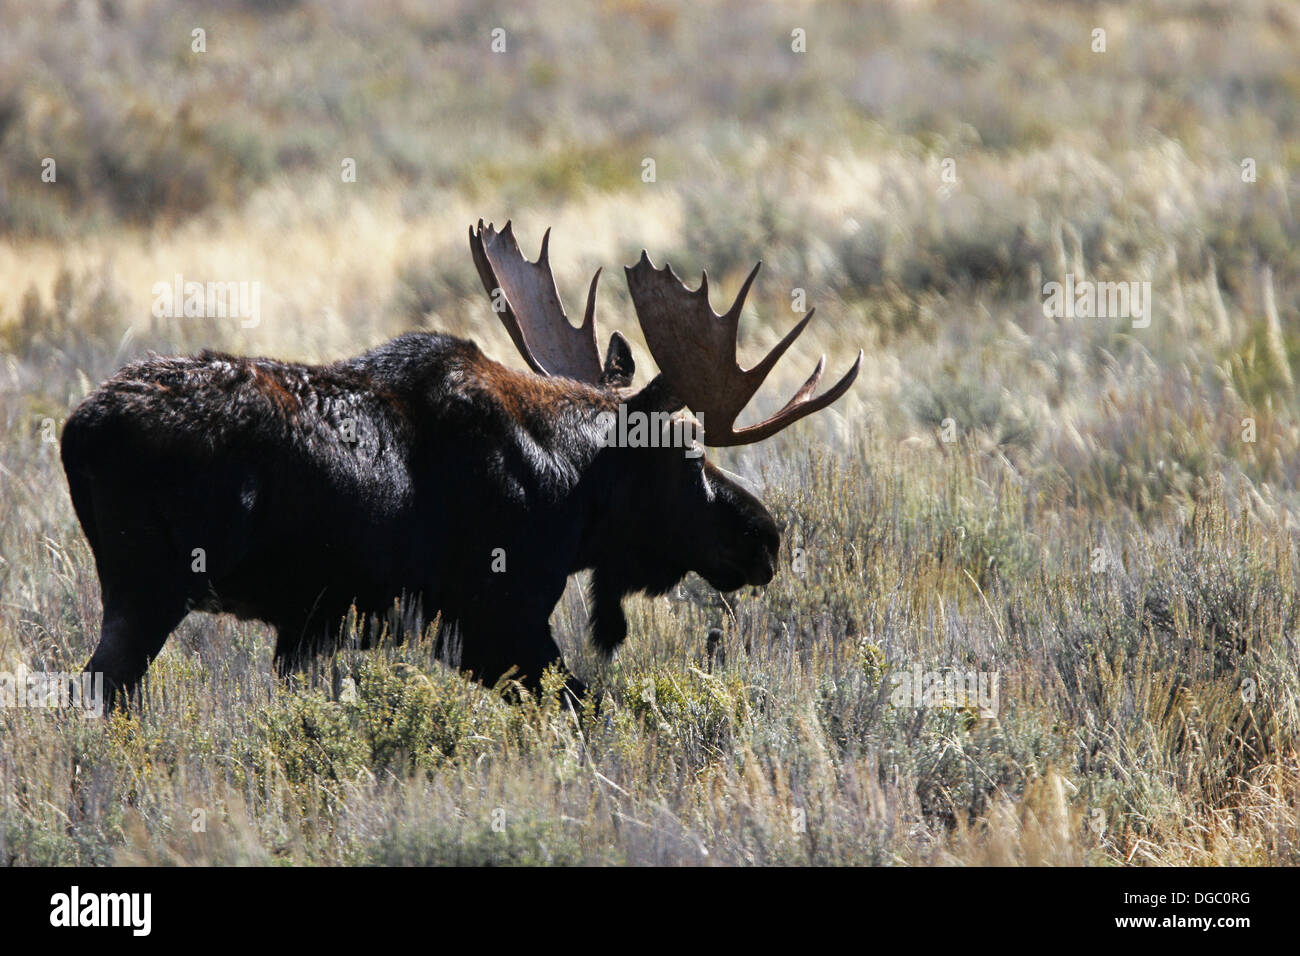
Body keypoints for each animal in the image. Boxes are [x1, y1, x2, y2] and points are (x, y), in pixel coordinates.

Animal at [60, 221, 861, 711]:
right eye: (687, 450)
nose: (765, 537)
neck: (573, 493)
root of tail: (74, 432)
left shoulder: (313, 629)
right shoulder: (497, 619)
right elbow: (588, 707)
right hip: (148, 586)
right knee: (100, 693)